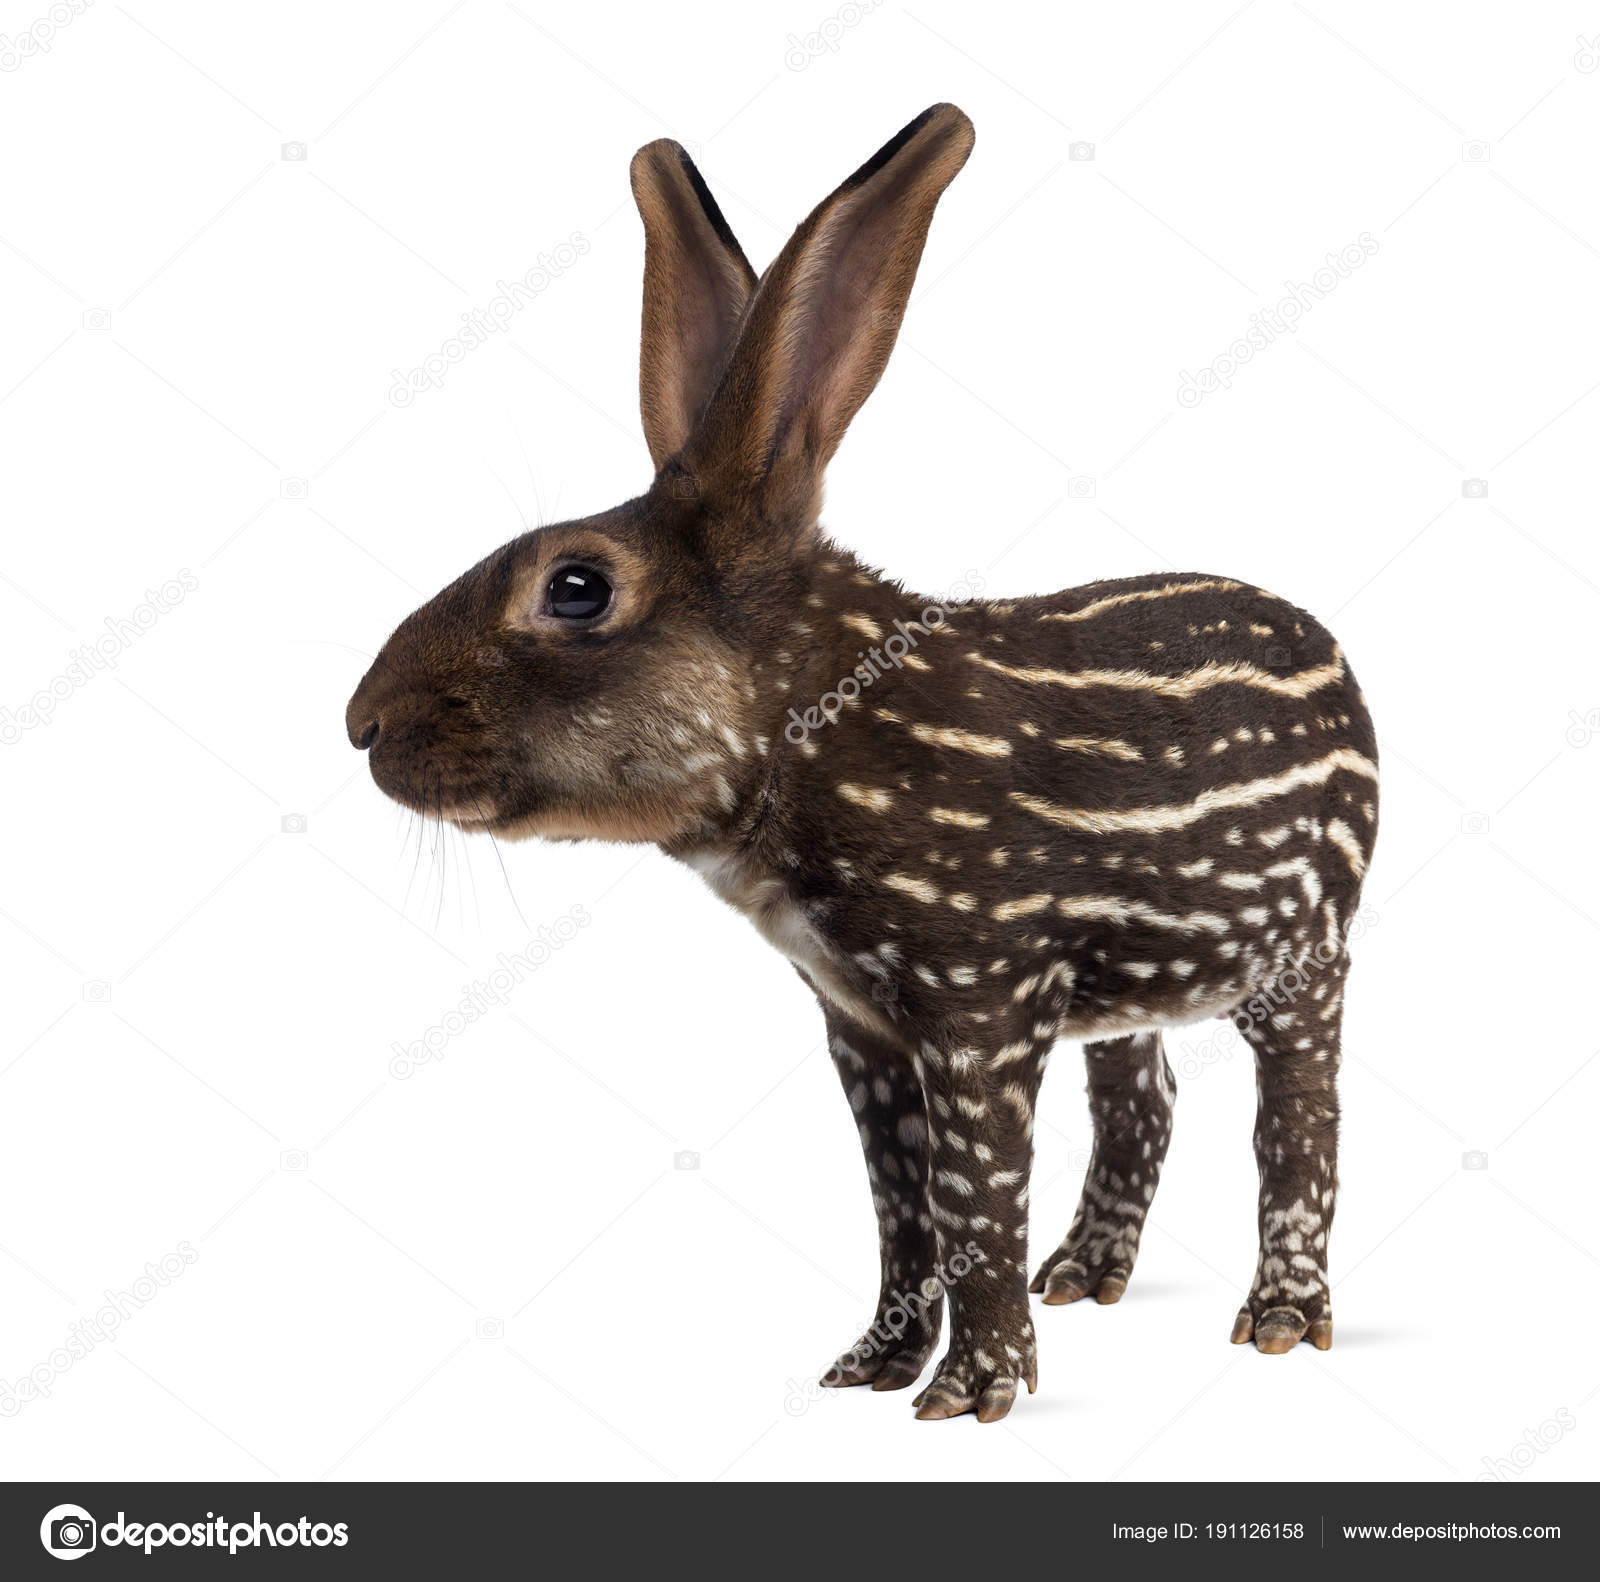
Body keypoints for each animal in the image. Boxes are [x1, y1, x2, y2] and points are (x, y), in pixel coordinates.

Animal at [346, 103, 1378, 1424]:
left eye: (576, 585)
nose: (360, 723)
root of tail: (1329, 644)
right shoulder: (858, 1015)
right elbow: (898, 1200)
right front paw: (874, 1364)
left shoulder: (982, 989)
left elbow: (972, 1195)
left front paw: (975, 1392)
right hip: (1139, 975)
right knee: (1141, 1090)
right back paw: (1085, 1274)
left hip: (1310, 938)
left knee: (1303, 1105)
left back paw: (1284, 1316)